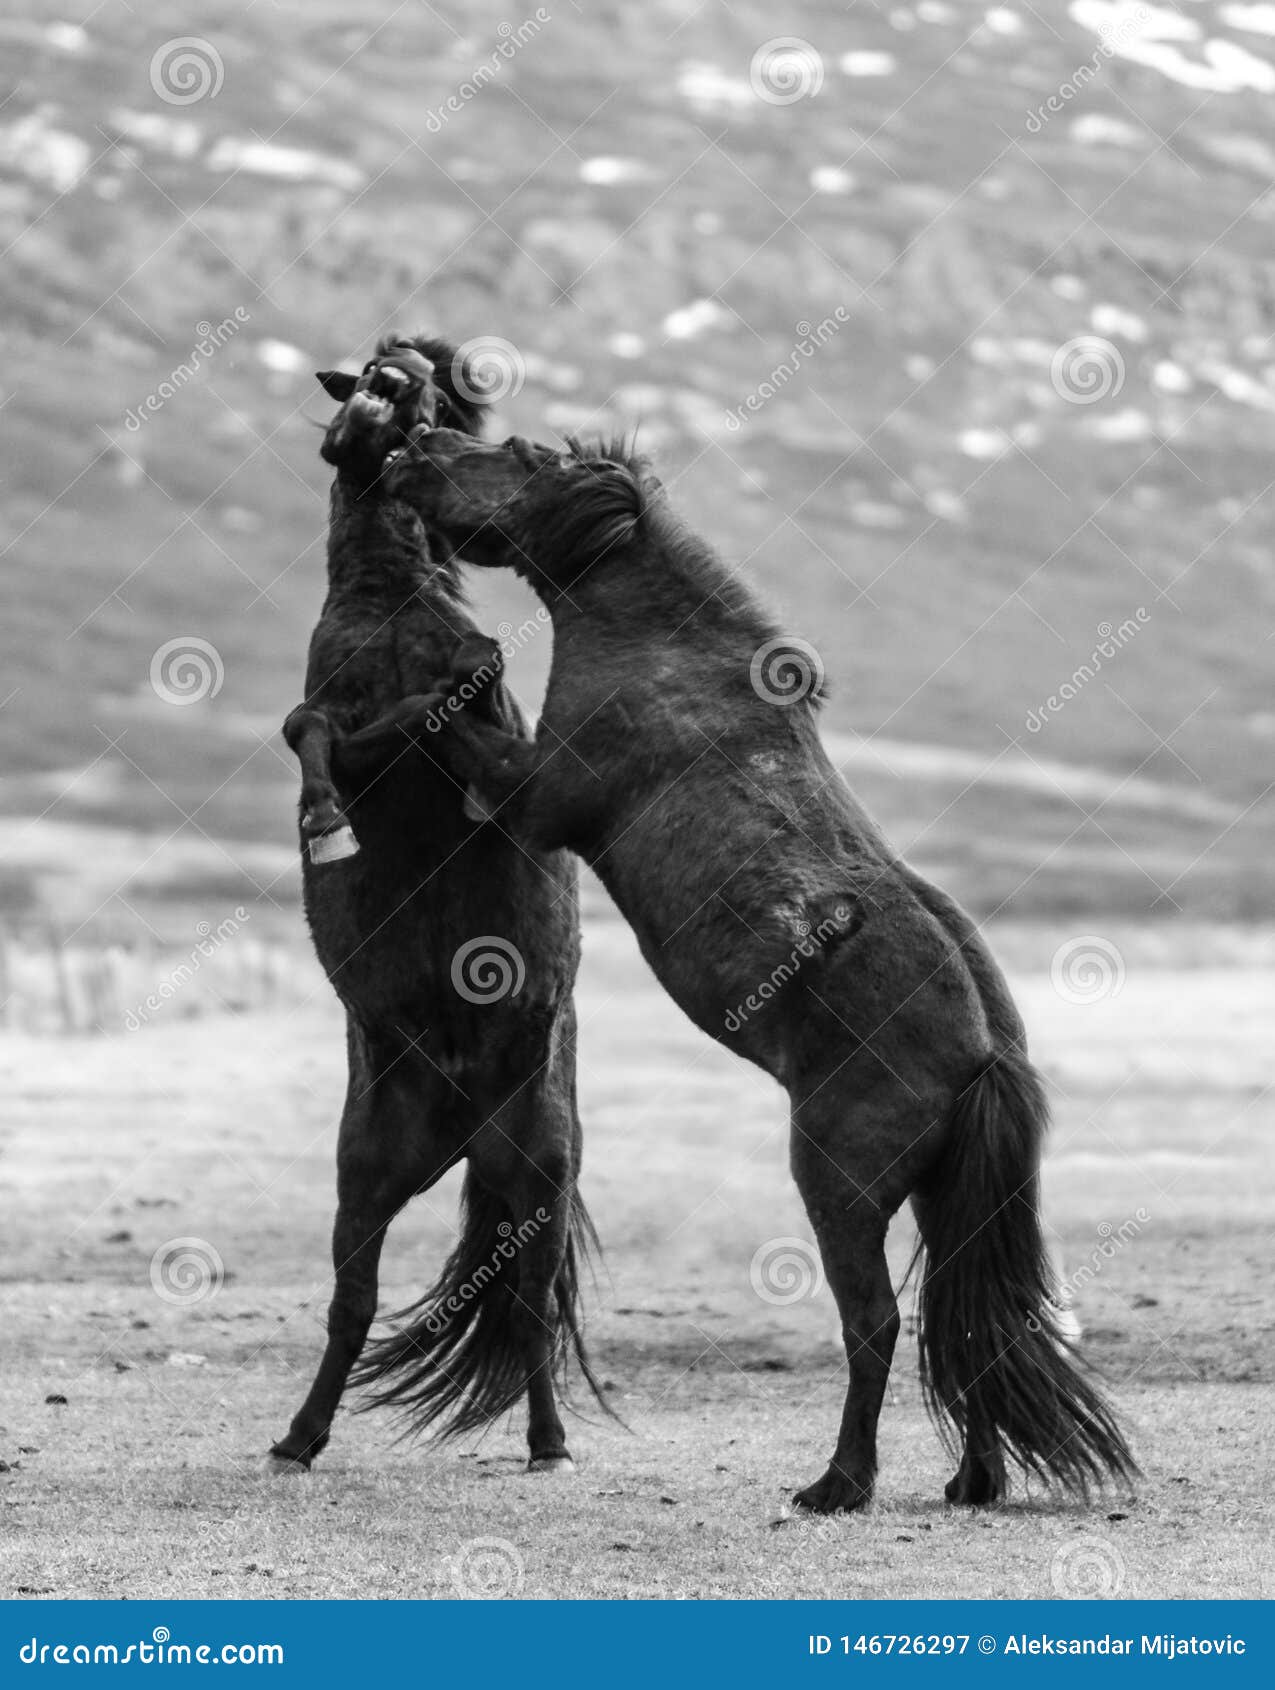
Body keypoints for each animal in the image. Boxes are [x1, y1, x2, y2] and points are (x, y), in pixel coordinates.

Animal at [269, 342, 603, 1476]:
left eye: (422, 380)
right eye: (367, 372)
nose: (385, 395)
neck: (387, 607)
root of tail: (464, 1126)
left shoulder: (480, 695)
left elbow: (457, 693)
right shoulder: (328, 712)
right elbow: (313, 732)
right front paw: (327, 823)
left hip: (537, 1175)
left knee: (532, 1303)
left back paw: (548, 1442)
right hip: (365, 1182)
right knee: (353, 1304)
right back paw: (298, 1437)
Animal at [374, 427, 1138, 1514]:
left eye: (517, 452)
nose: (414, 445)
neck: (661, 648)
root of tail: (984, 1052)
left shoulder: (539, 795)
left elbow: (449, 725)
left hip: (838, 1188)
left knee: (877, 1327)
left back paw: (839, 1483)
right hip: (944, 1202)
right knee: (965, 1321)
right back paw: (971, 1480)